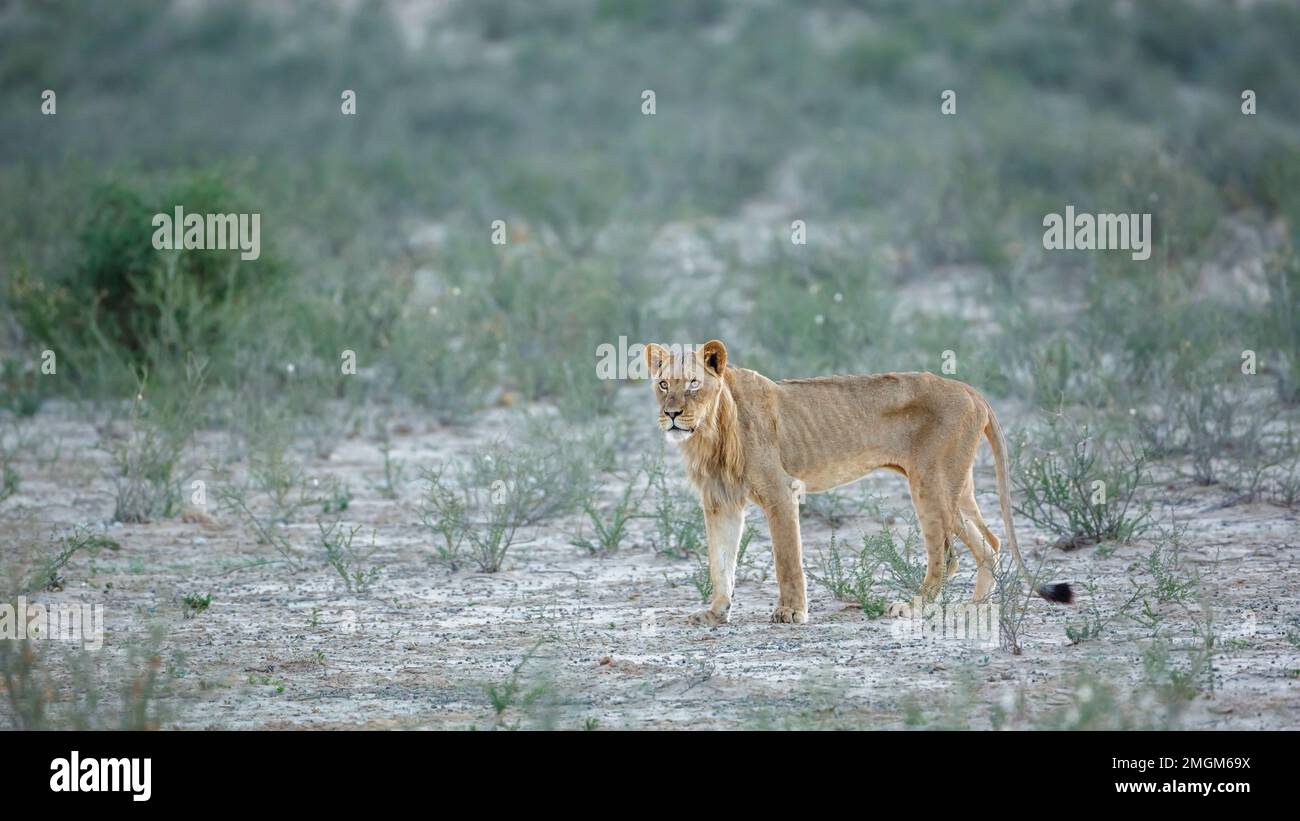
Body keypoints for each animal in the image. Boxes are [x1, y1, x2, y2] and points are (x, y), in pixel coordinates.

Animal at [644, 339, 1072, 625]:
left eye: (694, 383)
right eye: (664, 384)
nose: (672, 414)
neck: (709, 431)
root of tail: (970, 390)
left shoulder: (781, 490)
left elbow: (786, 558)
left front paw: (791, 612)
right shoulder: (721, 502)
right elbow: (720, 561)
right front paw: (715, 612)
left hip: (930, 483)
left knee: (947, 556)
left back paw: (911, 607)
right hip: (955, 485)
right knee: (990, 543)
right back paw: (974, 608)